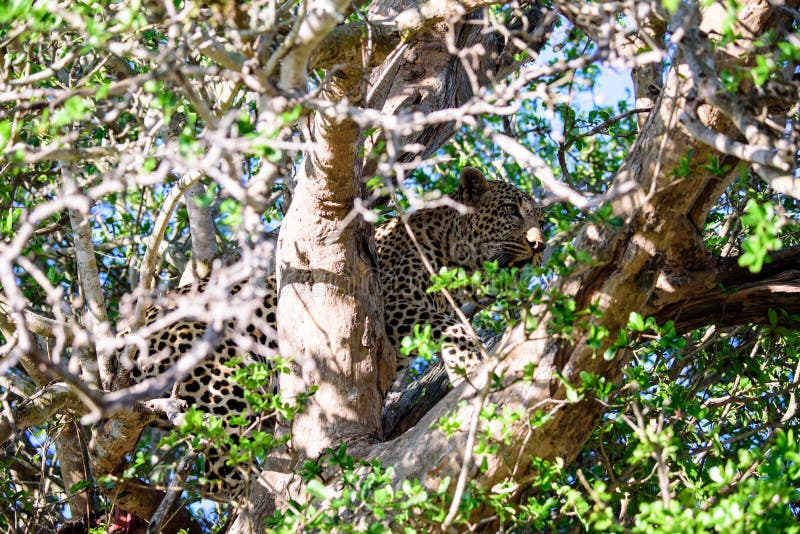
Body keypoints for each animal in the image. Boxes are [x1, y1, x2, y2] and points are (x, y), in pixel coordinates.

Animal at [128, 166, 544, 497]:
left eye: (541, 219)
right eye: (510, 211)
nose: (539, 245)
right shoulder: (390, 304)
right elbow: (451, 324)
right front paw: (472, 360)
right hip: (224, 376)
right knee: (218, 472)